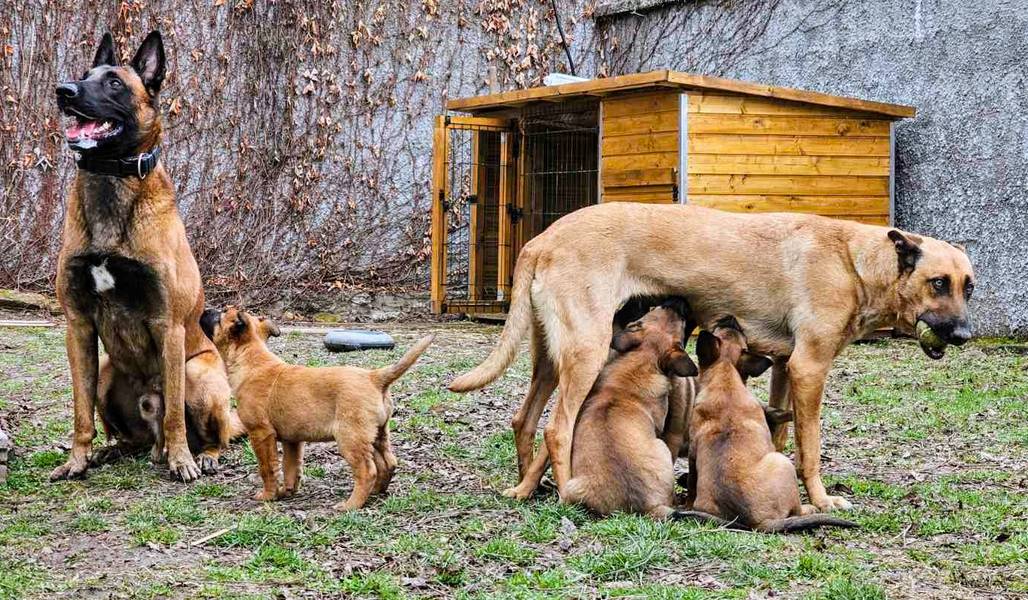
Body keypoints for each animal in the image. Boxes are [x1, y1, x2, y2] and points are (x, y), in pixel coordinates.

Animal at [51, 32, 235, 482]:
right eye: (84, 75)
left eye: (114, 83)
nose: (64, 91)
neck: (109, 179)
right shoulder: (78, 325)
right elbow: (80, 411)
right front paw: (78, 459)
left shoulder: (169, 326)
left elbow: (174, 416)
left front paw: (182, 460)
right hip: (106, 372)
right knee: (130, 437)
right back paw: (112, 452)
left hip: (197, 372)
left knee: (211, 431)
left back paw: (201, 455)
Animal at [200, 310, 433, 511]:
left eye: (221, 314)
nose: (205, 310)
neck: (251, 359)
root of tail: (374, 377)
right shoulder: (292, 440)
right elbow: (291, 468)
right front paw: (286, 491)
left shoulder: (261, 434)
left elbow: (268, 468)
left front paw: (268, 495)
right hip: (376, 434)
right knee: (388, 463)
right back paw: (376, 492)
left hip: (350, 438)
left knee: (367, 471)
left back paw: (351, 504)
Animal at [559, 302, 694, 517]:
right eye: (682, 322)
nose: (676, 302)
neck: (642, 361)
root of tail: (648, 507)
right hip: (663, 447)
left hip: (571, 487)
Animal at [682, 320, 859, 530]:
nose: (730, 319)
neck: (725, 377)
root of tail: (757, 523)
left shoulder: (693, 452)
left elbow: (692, 483)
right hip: (783, 463)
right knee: (796, 509)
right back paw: (809, 508)